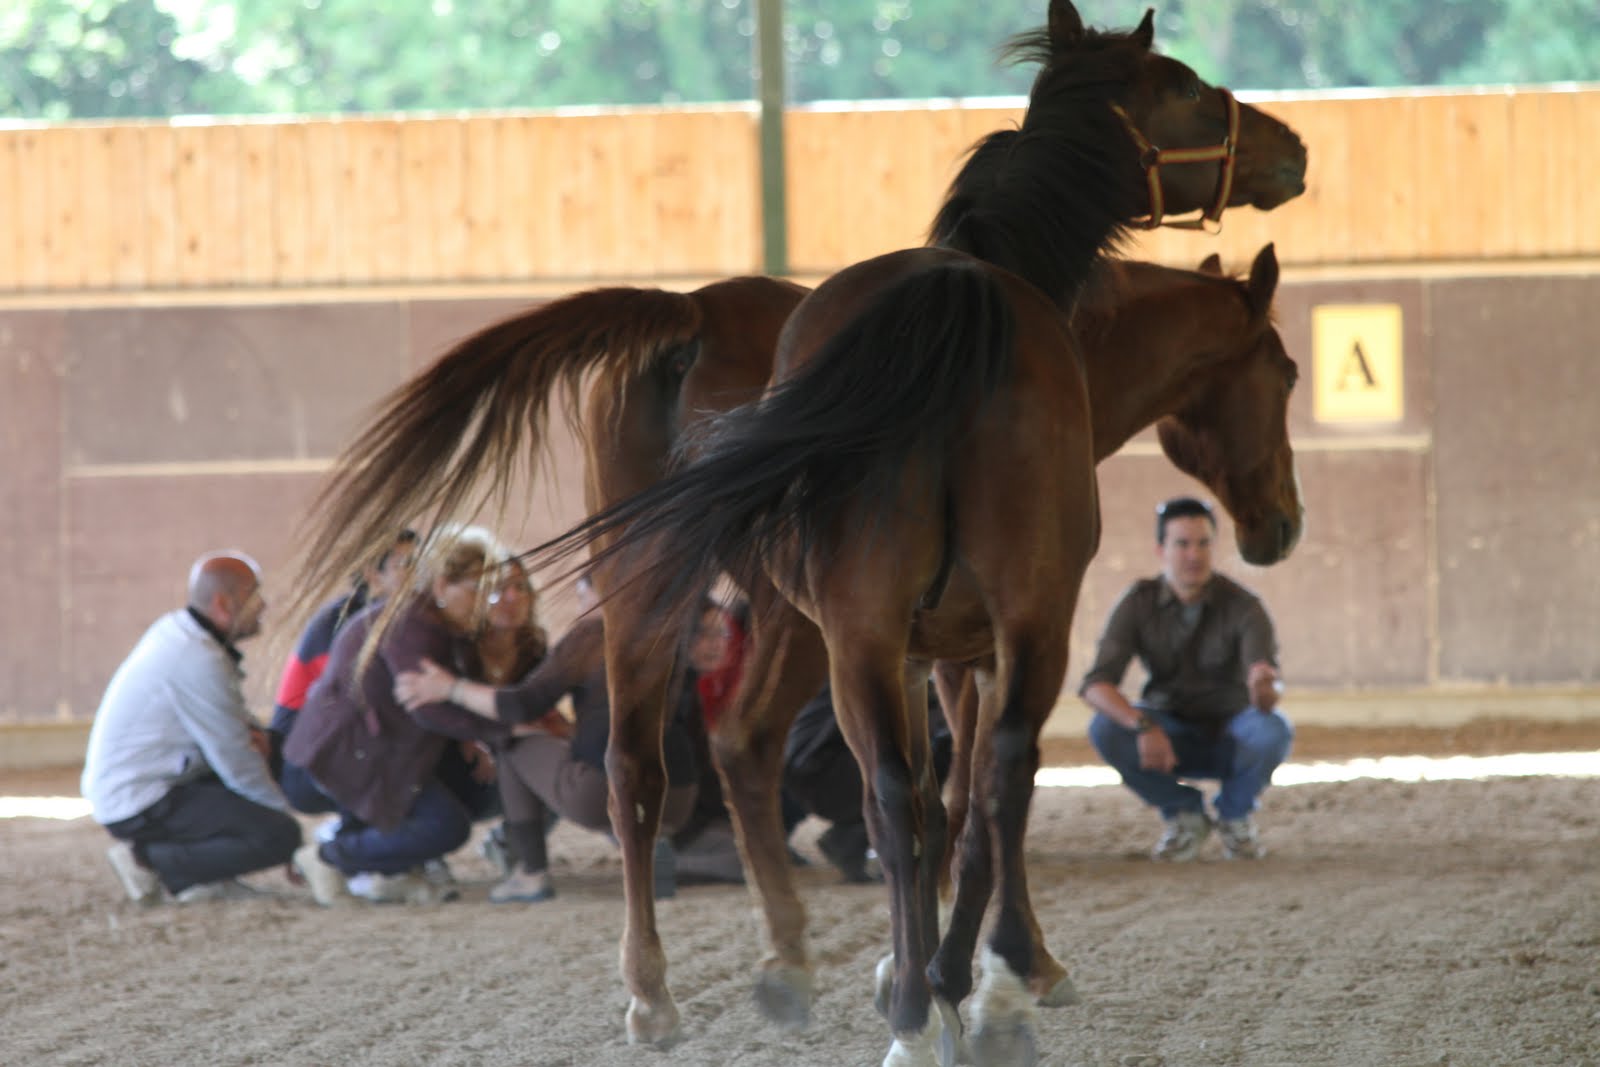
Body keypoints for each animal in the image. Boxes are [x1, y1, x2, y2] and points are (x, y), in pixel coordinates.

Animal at [285, 5, 1308, 1062]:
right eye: (1283, 372)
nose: (1293, 150)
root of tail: (685, 314)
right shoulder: (968, 650)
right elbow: (964, 803)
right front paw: (999, 966)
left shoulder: (917, 643)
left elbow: (932, 799)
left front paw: (922, 970)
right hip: (850, 619)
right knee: (911, 774)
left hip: (713, 600)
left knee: (693, 760)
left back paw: (746, 974)